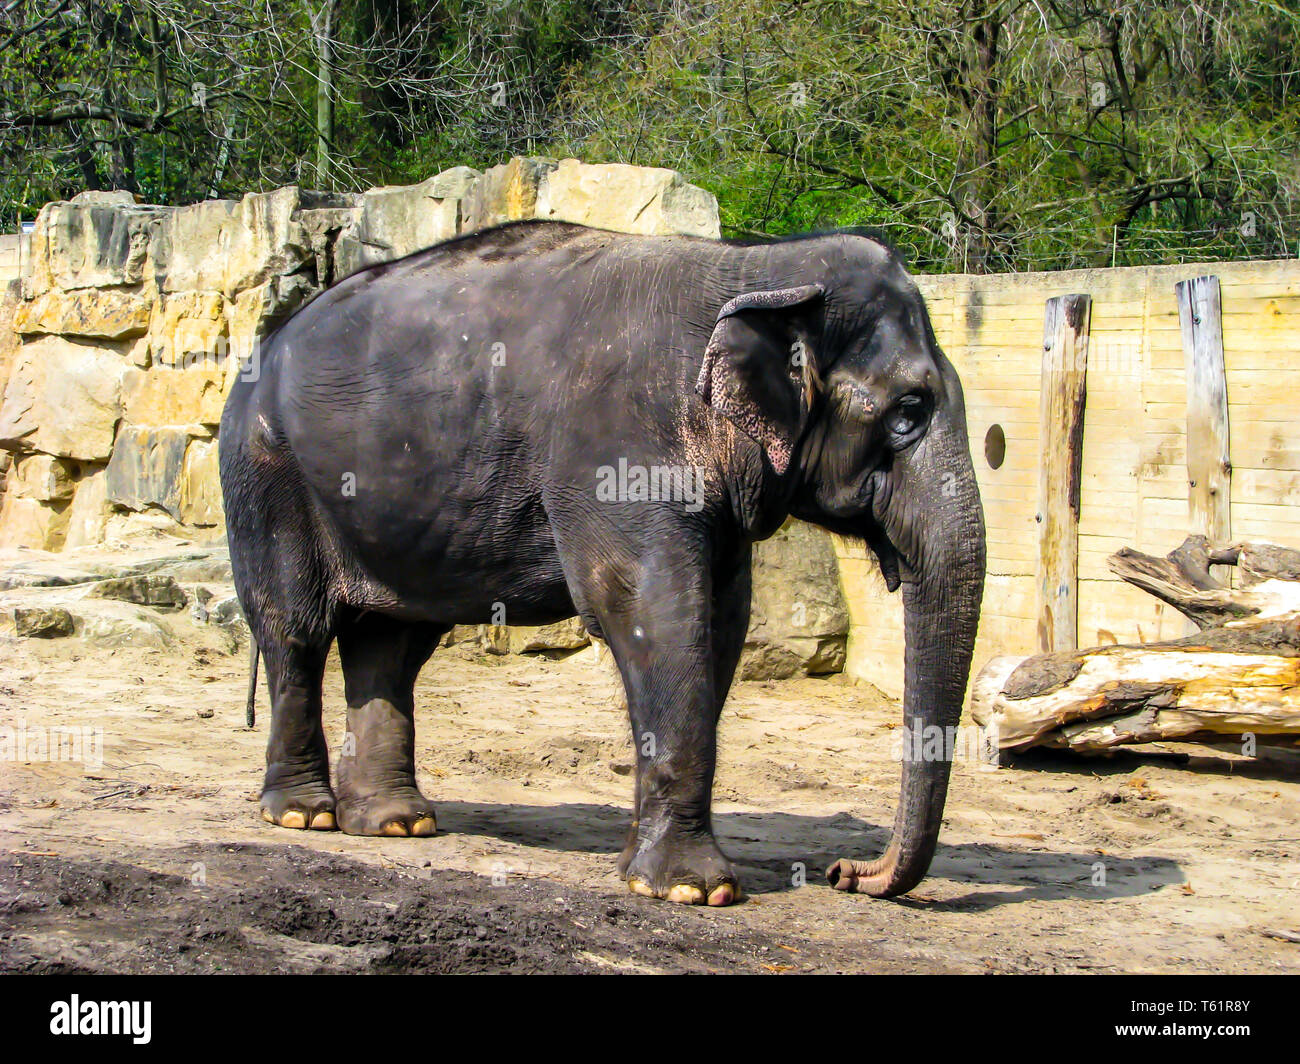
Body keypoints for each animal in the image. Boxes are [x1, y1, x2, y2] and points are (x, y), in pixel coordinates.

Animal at [218, 219, 986, 907]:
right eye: (908, 413)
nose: (845, 873)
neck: (758, 265)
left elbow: (720, 621)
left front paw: (651, 873)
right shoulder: (616, 450)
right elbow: (648, 608)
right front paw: (695, 892)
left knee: (391, 640)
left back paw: (396, 824)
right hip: (266, 470)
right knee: (295, 629)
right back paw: (305, 815)